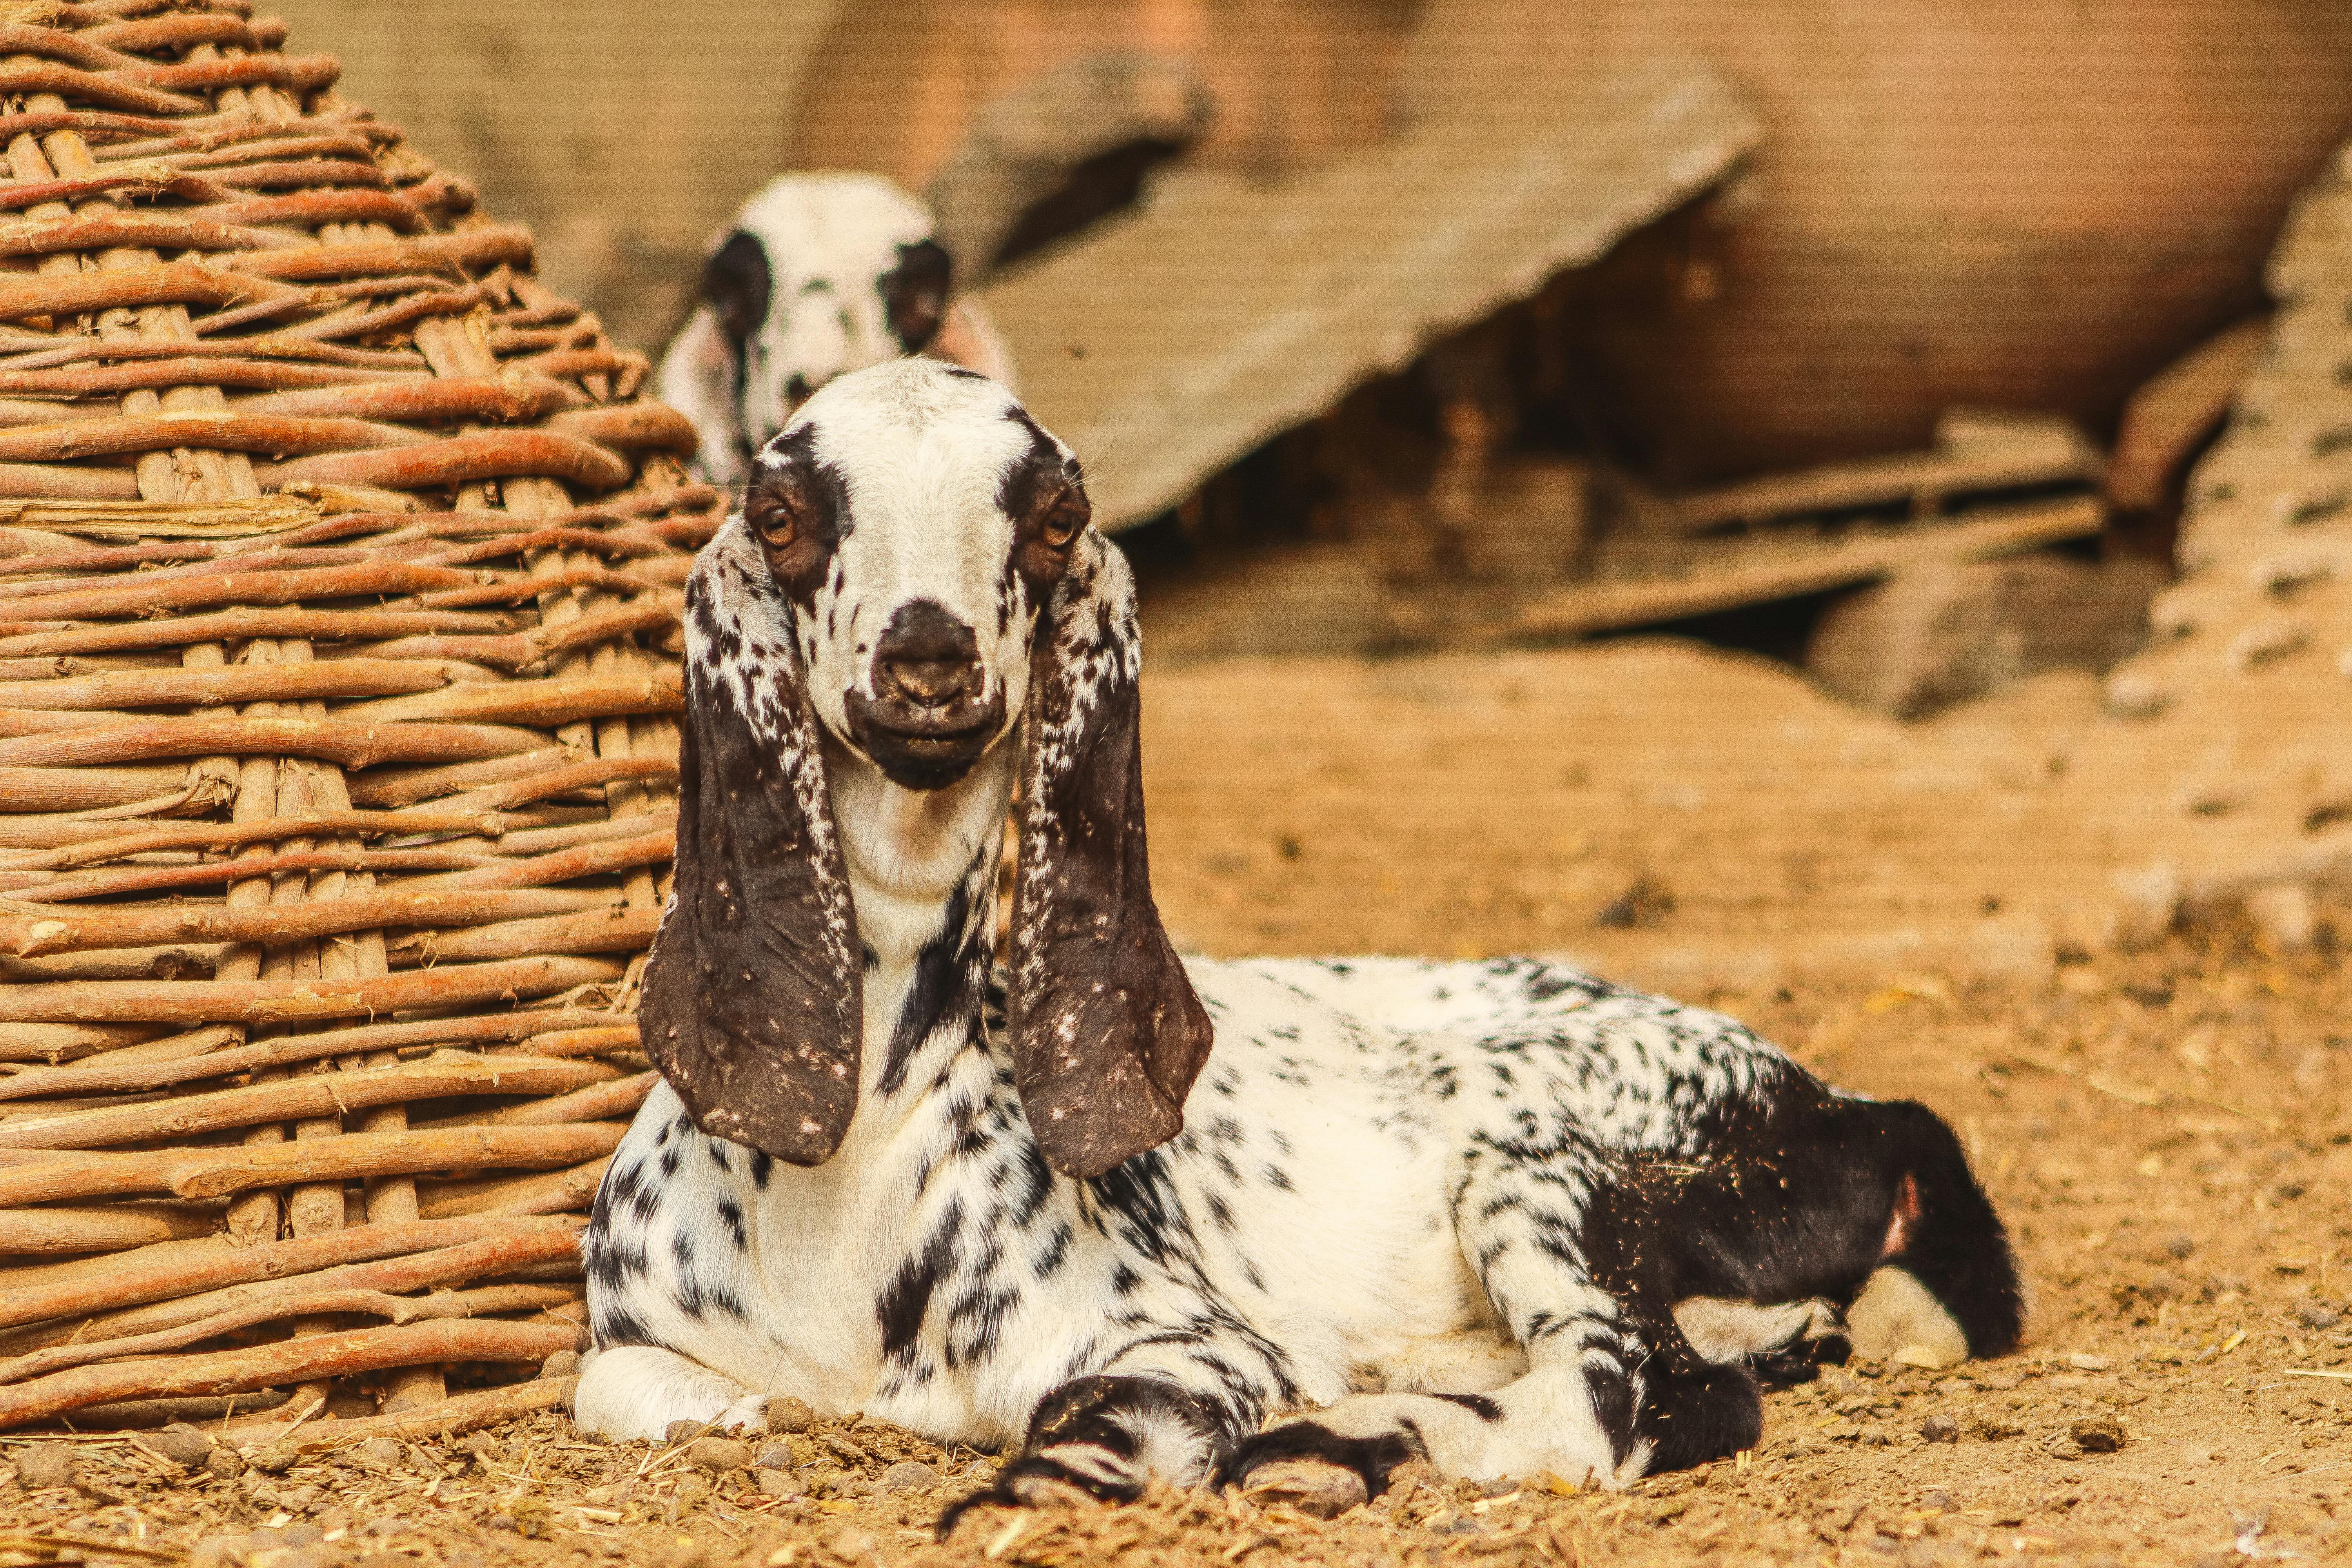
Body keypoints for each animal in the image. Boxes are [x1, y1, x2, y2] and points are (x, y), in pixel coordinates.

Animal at [575, 359, 2024, 1519]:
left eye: (1054, 517)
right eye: (780, 513)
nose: (928, 660)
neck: (863, 1151)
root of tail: (1856, 1109)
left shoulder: (1182, 1348)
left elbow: (1086, 1432)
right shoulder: (625, 1343)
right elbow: (624, 1392)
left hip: (1546, 1165)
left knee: (1637, 1390)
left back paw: (1341, 1445)